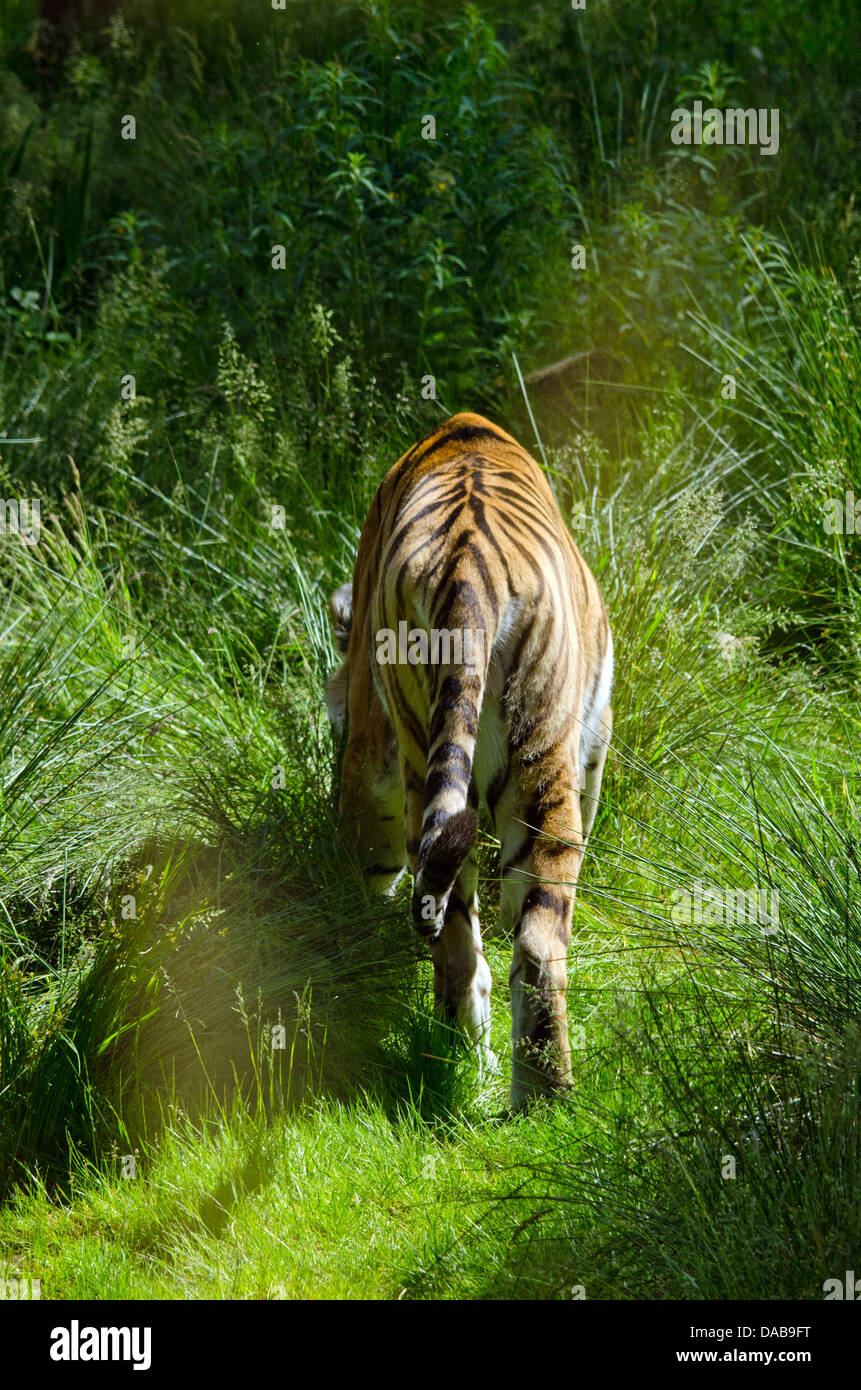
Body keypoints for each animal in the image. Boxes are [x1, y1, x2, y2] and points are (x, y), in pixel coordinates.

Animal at [325, 411, 613, 1109]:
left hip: (456, 769)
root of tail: (468, 573)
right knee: (501, 942)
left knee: (486, 945)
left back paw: (498, 1077)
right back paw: (514, 1083)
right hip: (513, 768)